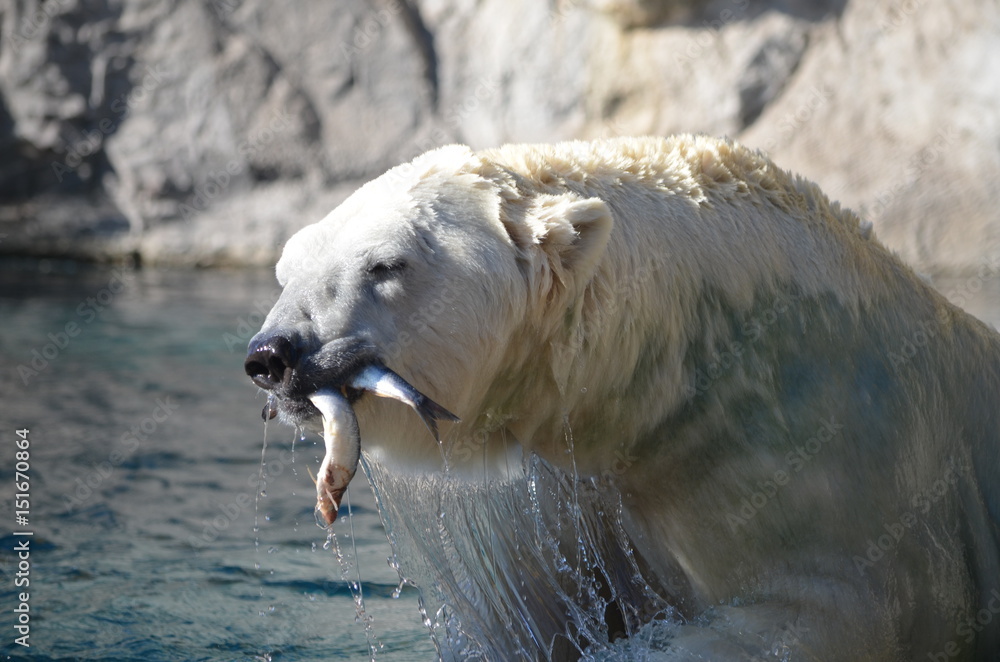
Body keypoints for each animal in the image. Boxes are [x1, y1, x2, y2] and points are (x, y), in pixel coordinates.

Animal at [244, 135, 1000, 661]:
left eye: (386, 264)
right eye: (286, 271)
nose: (272, 356)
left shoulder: (822, 473)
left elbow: (817, 614)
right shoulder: (568, 490)